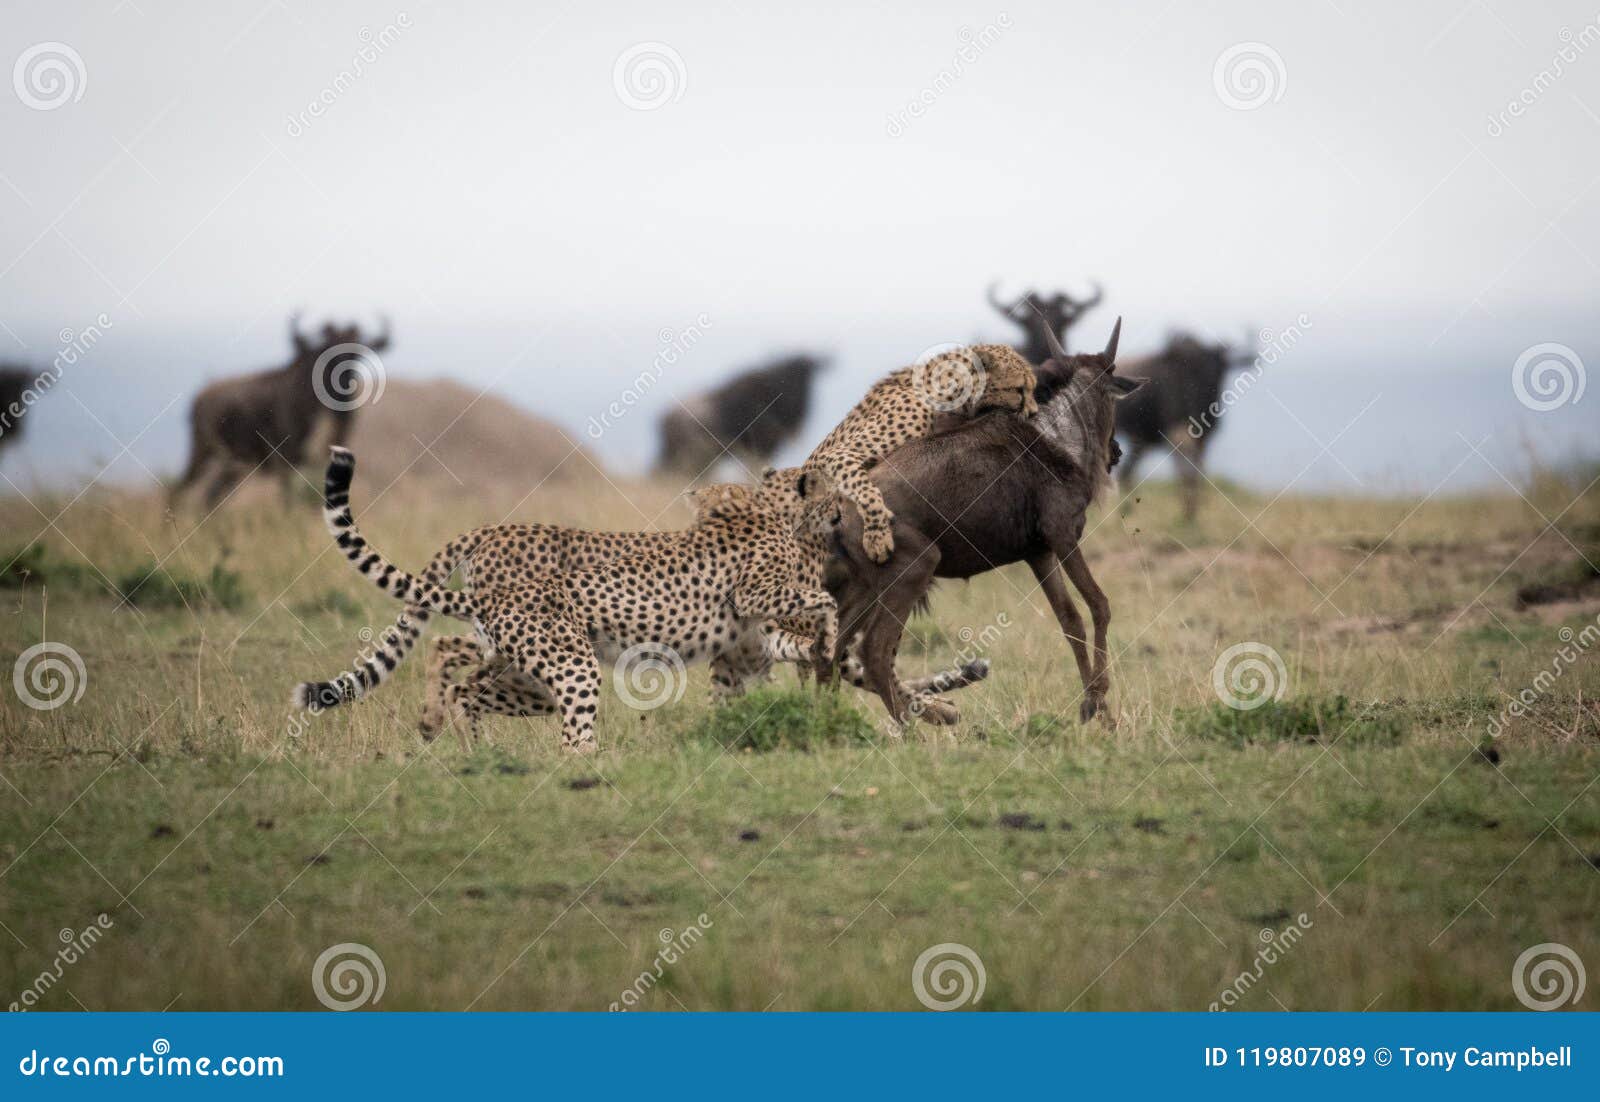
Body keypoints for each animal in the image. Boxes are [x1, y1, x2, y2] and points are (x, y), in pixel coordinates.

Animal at [799, 343, 1040, 563]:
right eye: (1018, 389)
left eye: (1032, 388)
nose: (1034, 413)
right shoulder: (833, 454)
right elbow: (866, 489)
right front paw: (877, 537)